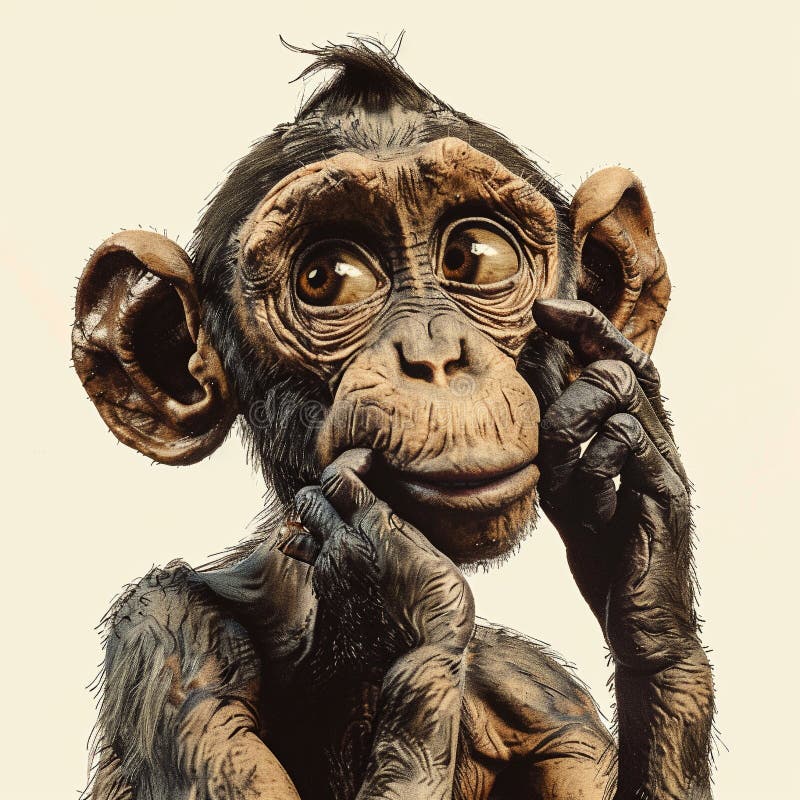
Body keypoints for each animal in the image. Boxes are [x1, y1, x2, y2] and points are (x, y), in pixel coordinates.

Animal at [72, 39, 714, 800]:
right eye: (327, 277)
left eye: (474, 257)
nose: (435, 355)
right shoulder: (166, 650)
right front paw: (395, 578)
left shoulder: (554, 705)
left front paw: (640, 529)